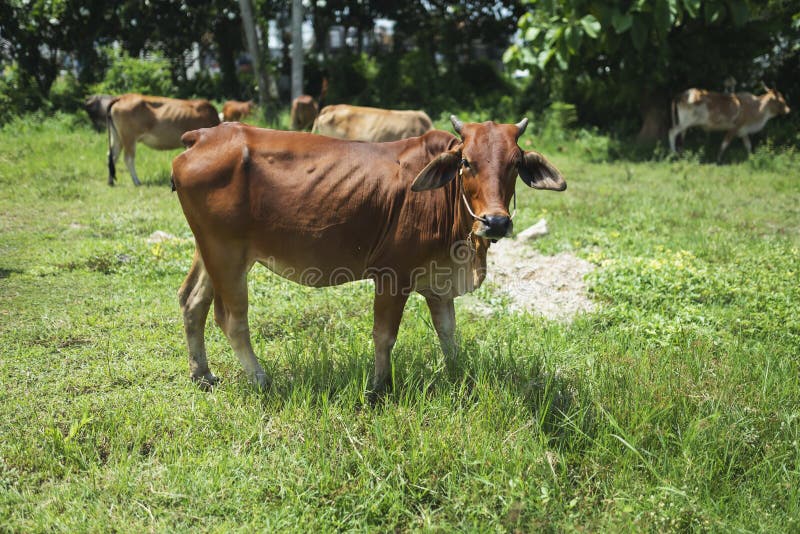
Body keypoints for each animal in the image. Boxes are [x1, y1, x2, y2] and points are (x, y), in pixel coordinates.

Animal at [171, 116, 566, 400]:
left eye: (515, 163)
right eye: (467, 162)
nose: (496, 222)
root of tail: (202, 135)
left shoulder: (438, 280)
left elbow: (447, 331)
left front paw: (457, 375)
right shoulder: (393, 275)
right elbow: (384, 335)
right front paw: (379, 387)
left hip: (210, 250)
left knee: (192, 301)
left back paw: (201, 373)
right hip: (227, 253)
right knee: (232, 319)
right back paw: (260, 379)